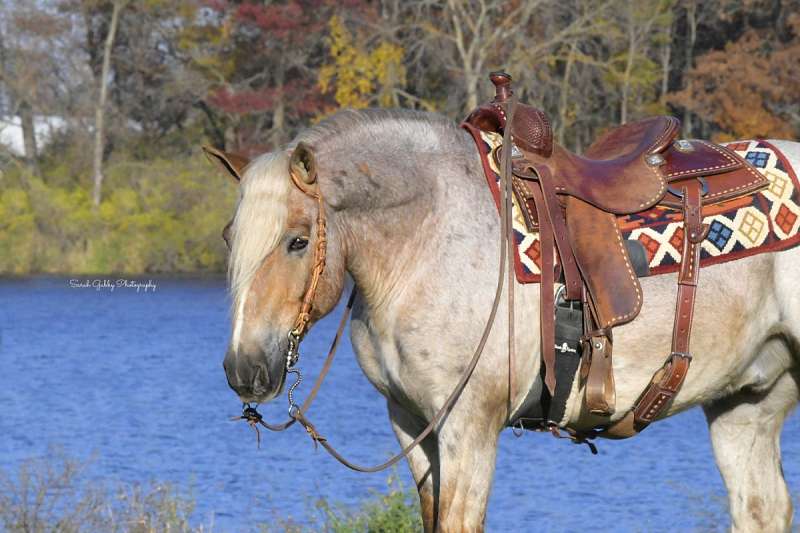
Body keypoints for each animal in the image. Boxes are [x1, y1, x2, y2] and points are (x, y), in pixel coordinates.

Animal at [206, 108, 800, 532]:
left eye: (297, 240)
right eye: (229, 237)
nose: (244, 369)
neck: (426, 239)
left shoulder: (469, 427)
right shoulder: (410, 424)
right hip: (745, 406)